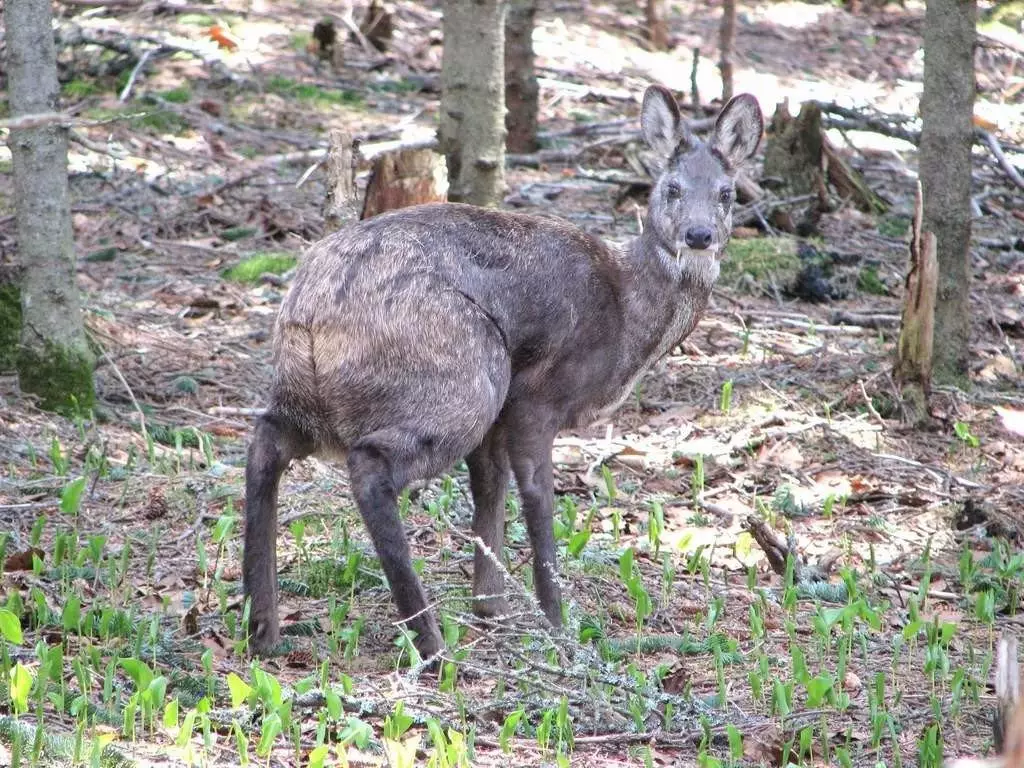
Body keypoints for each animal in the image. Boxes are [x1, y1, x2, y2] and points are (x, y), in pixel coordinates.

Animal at [243, 85, 765, 663]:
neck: (627, 314)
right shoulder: (538, 394)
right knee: (369, 465)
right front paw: (557, 622)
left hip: (309, 393)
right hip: (468, 377)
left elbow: (489, 487)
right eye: (672, 188)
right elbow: (538, 496)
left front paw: (492, 605)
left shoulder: (503, 416)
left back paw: (264, 627)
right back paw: (428, 638)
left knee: (266, 439)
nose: (699, 235)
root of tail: (311, 309)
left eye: (727, 194)